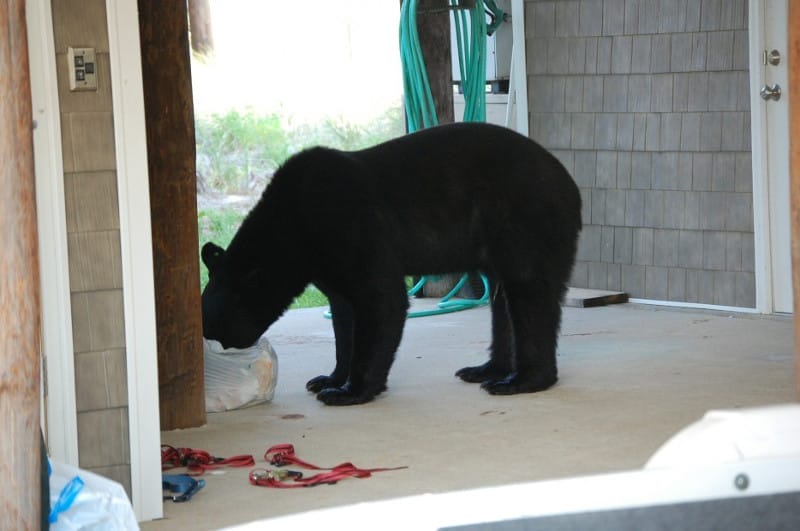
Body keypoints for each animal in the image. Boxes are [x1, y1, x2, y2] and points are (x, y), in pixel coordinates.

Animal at [201, 122, 582, 406]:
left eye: (215, 327)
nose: (215, 350)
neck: (295, 227)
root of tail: (571, 186)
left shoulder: (353, 228)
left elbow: (381, 298)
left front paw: (348, 391)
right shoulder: (327, 264)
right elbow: (343, 314)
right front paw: (329, 377)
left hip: (524, 220)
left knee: (529, 294)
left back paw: (521, 380)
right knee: (503, 305)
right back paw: (487, 369)